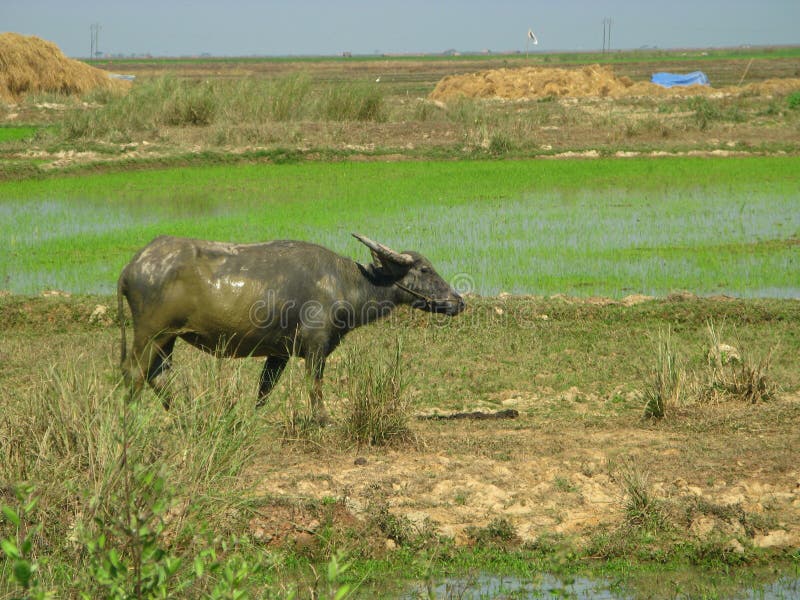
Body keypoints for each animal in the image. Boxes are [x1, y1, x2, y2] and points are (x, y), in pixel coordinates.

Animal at [117, 233, 465, 423]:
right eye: (424, 269)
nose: (458, 301)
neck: (343, 282)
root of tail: (133, 265)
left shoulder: (279, 354)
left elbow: (264, 389)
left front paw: (255, 417)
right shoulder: (316, 345)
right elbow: (315, 383)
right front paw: (323, 418)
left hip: (168, 339)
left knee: (159, 376)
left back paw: (187, 416)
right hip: (150, 333)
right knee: (136, 373)